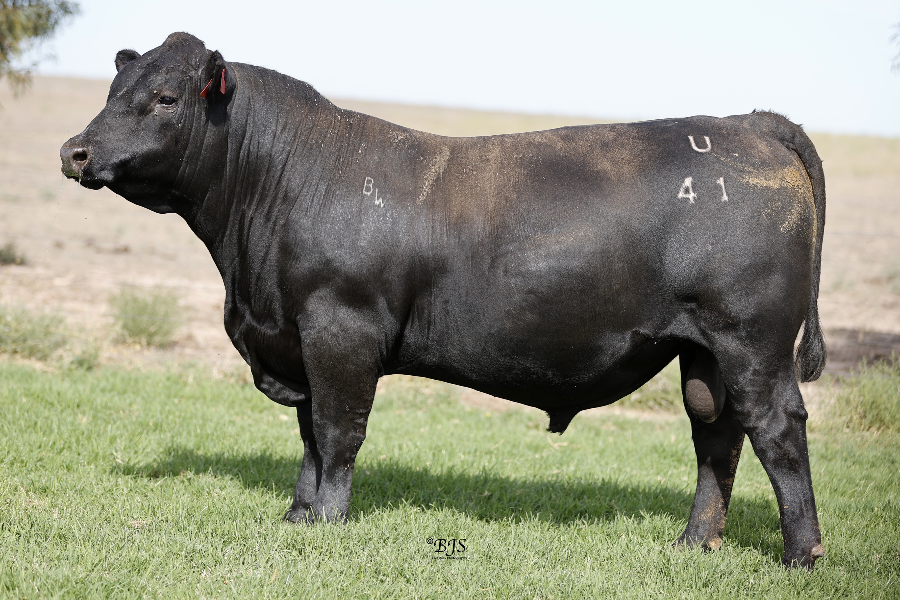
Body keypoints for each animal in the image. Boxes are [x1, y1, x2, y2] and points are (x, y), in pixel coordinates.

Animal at [60, 33, 827, 568]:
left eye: (165, 98)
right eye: (113, 88)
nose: (75, 151)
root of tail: (748, 123)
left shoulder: (341, 330)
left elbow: (338, 433)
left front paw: (330, 521)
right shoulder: (298, 342)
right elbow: (308, 436)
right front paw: (298, 517)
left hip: (752, 341)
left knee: (778, 429)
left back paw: (802, 554)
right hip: (704, 353)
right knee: (718, 436)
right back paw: (694, 543)